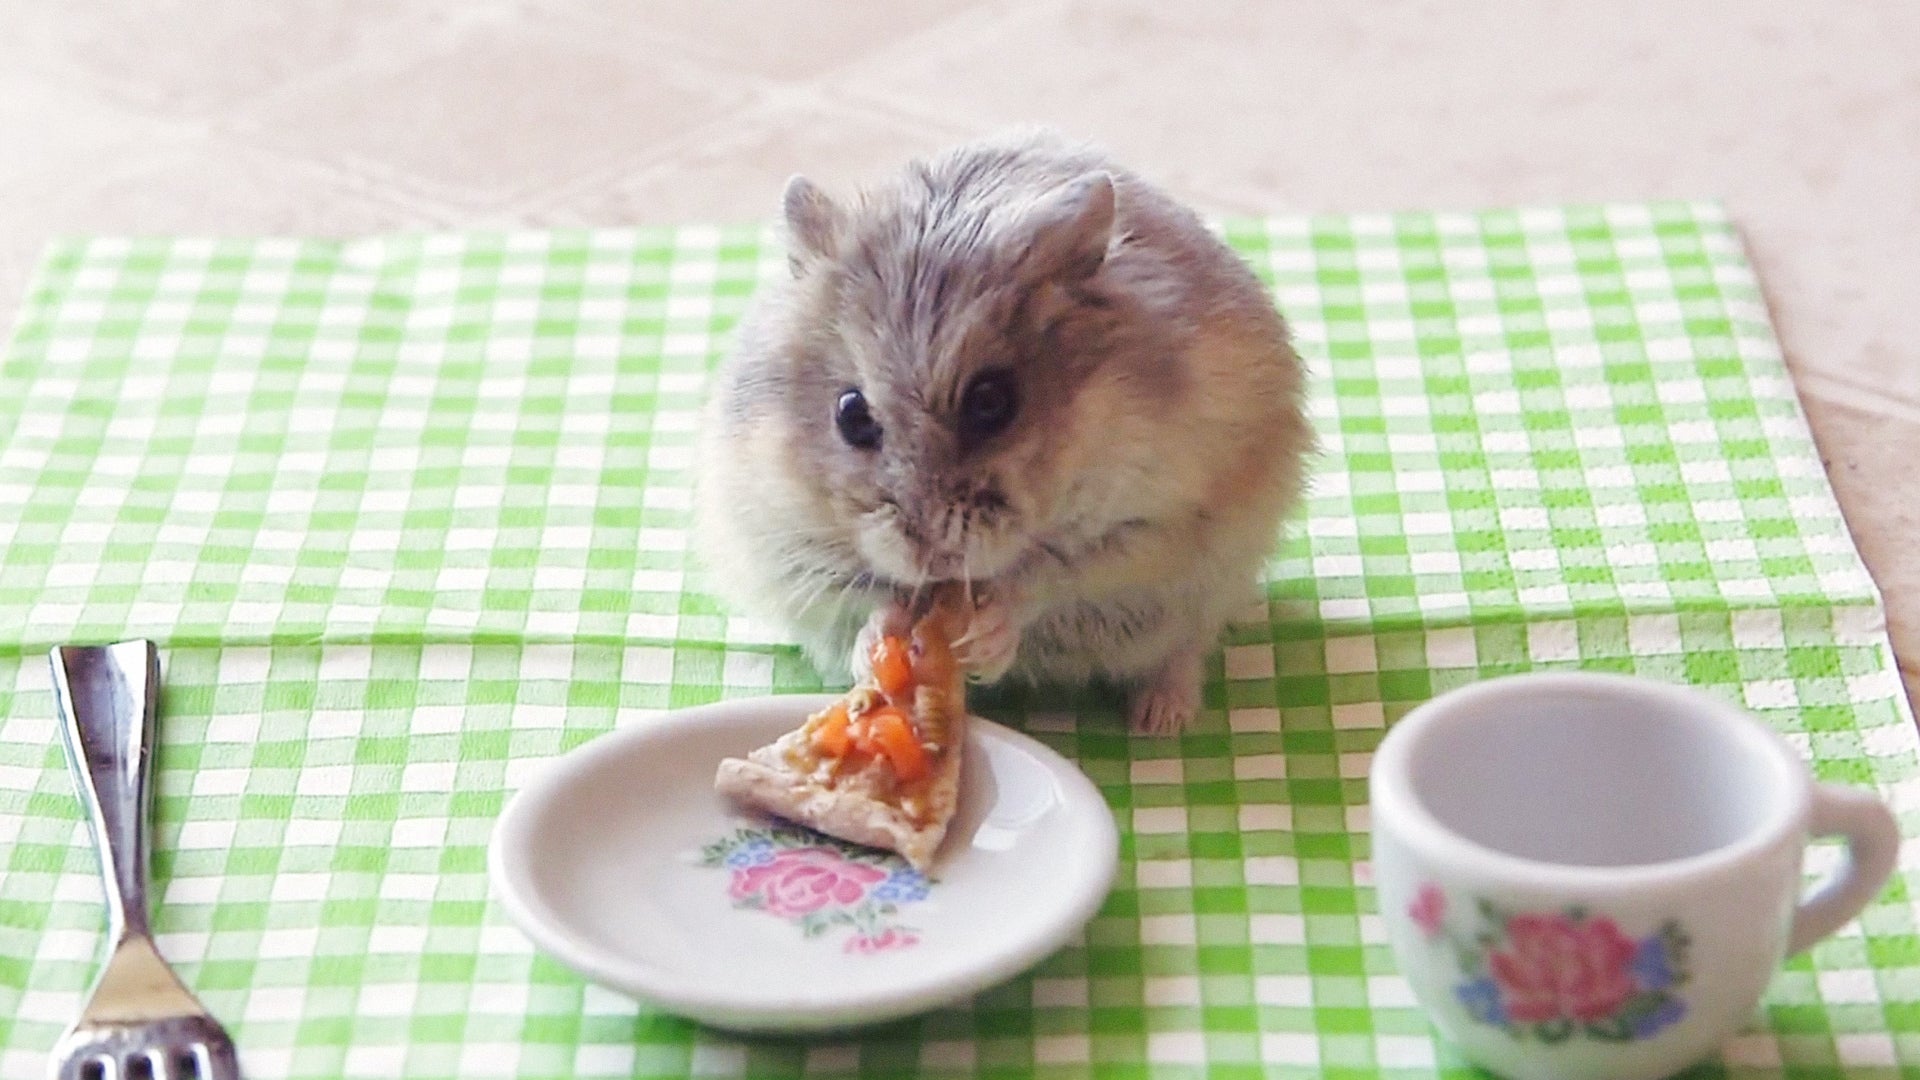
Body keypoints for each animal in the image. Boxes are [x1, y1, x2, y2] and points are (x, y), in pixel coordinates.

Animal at [694, 129, 1311, 733]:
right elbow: (868, 602)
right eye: (851, 414)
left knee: (1182, 652)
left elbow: (1041, 584)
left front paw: (982, 639)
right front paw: (880, 645)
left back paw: (1159, 721)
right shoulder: (785, 543)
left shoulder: (1153, 528)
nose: (932, 556)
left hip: (1210, 586)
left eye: (992, 402)